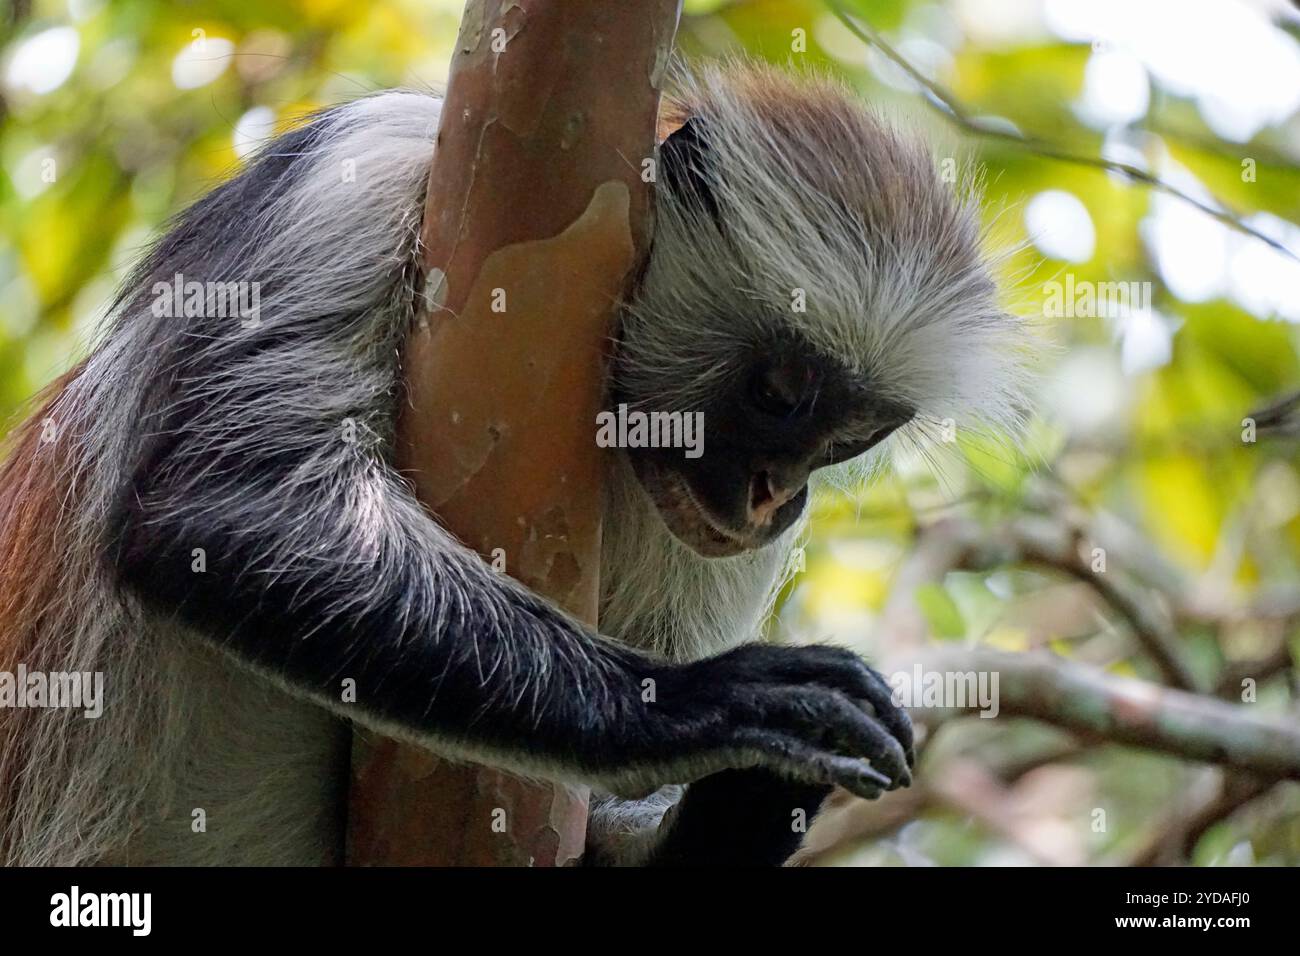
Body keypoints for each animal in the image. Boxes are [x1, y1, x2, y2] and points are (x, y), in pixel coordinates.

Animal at [0, 63, 1028, 866]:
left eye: (854, 436)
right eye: (780, 391)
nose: (776, 497)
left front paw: (750, 793)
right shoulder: (370, 165)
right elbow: (216, 504)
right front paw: (688, 706)